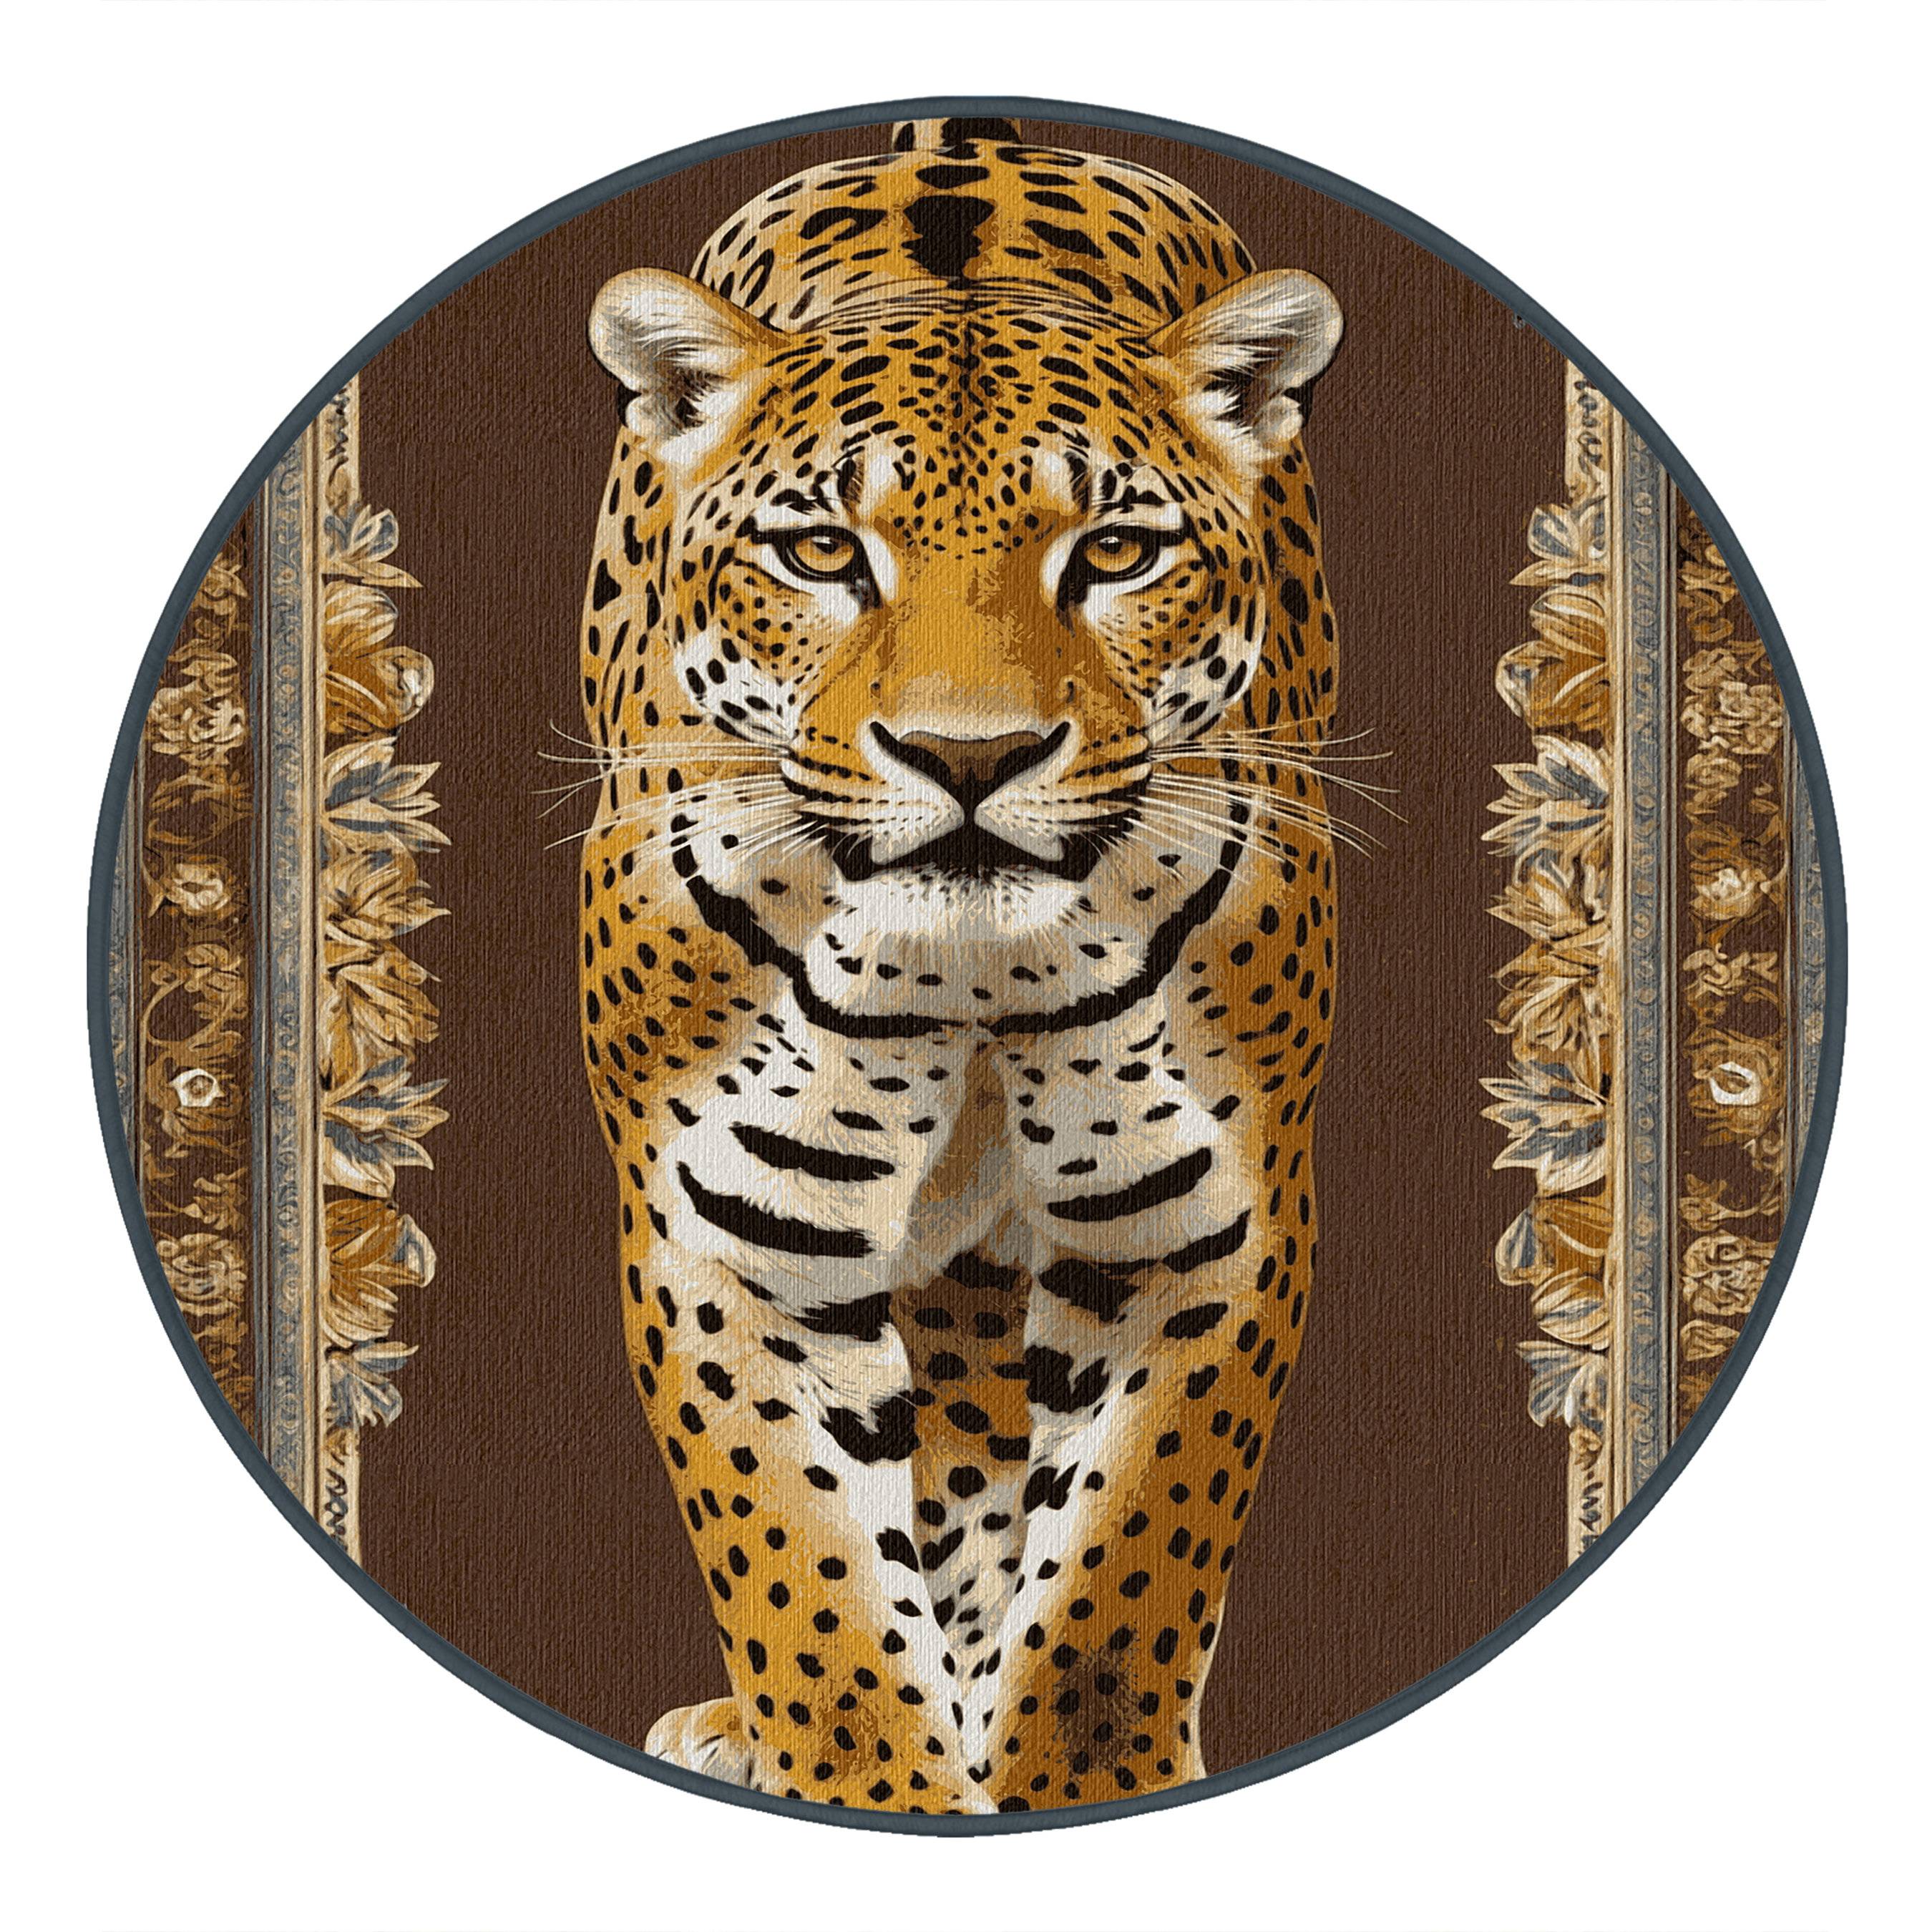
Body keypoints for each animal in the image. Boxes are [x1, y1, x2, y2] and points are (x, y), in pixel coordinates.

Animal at [573, 116, 1345, 1817]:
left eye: (1115, 550)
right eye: (819, 550)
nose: (969, 758)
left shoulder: (1195, 1230)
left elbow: (1116, 1598)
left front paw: (1079, 1777)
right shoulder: (735, 1235)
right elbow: (816, 1602)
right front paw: (869, 1784)